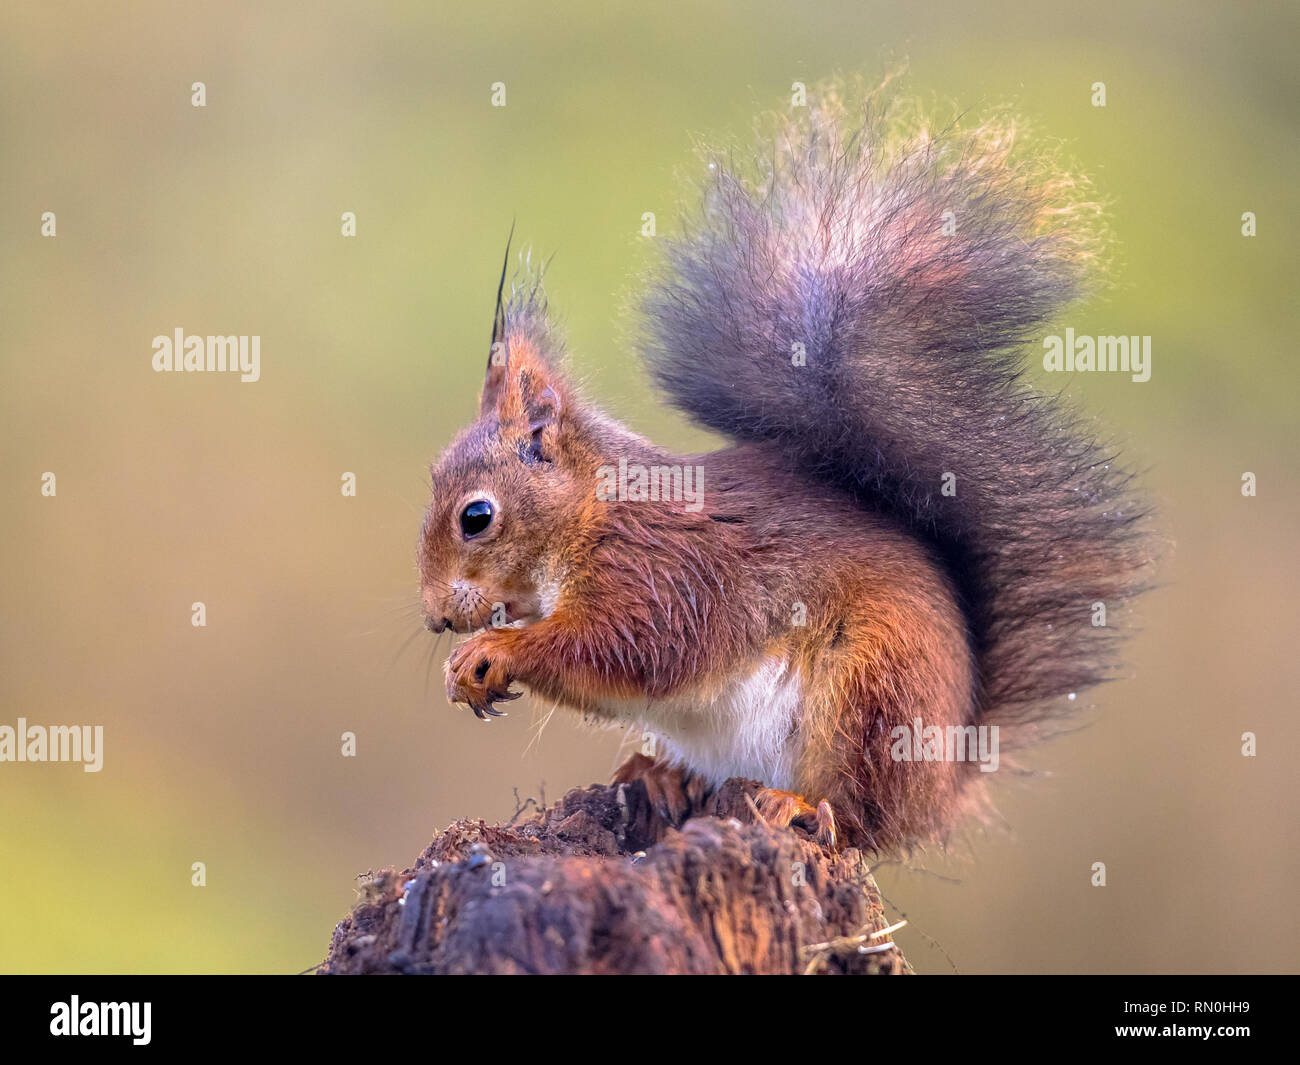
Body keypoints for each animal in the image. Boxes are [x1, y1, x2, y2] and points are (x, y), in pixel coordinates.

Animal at [419, 85, 1152, 852]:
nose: (437, 617)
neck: (593, 512)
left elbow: (624, 651)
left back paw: (799, 804)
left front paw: (492, 653)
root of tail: (947, 782)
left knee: (858, 817)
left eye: (476, 517)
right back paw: (661, 774)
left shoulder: (662, 573)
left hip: (873, 692)